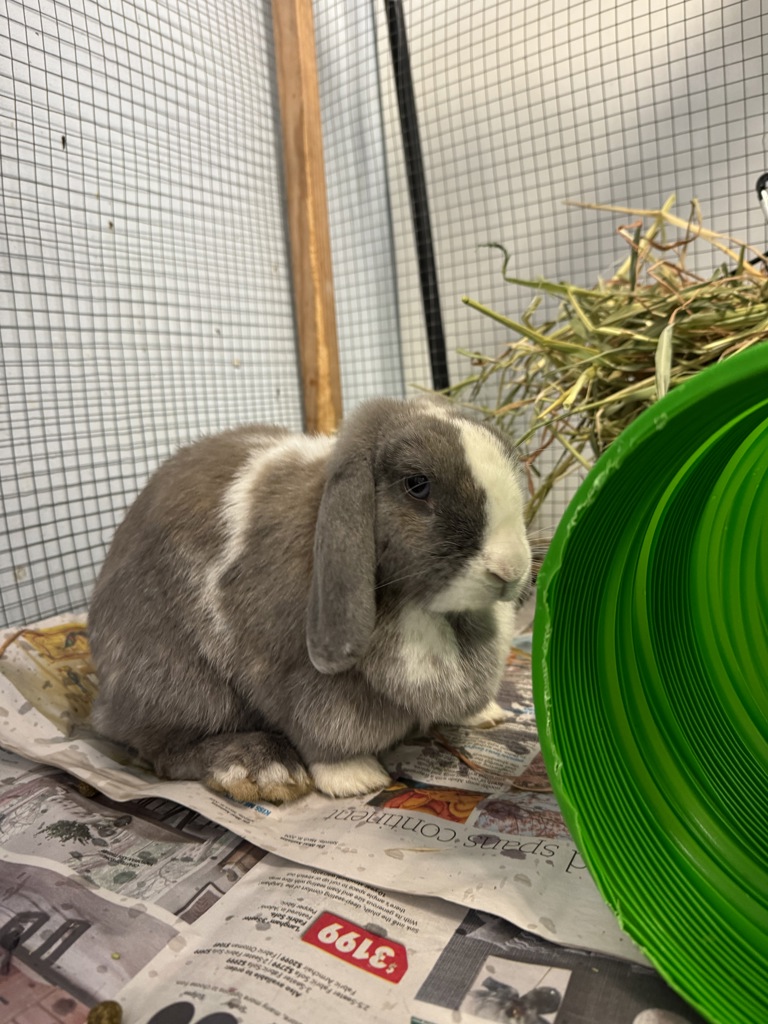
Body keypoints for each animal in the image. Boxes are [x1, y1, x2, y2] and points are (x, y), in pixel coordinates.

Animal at [88, 396, 532, 803]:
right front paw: (356, 778)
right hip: (180, 688)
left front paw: (489, 715)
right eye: (417, 484)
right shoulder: (299, 676)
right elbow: (324, 726)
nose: (509, 570)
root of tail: (105, 704)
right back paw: (264, 770)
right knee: (166, 751)